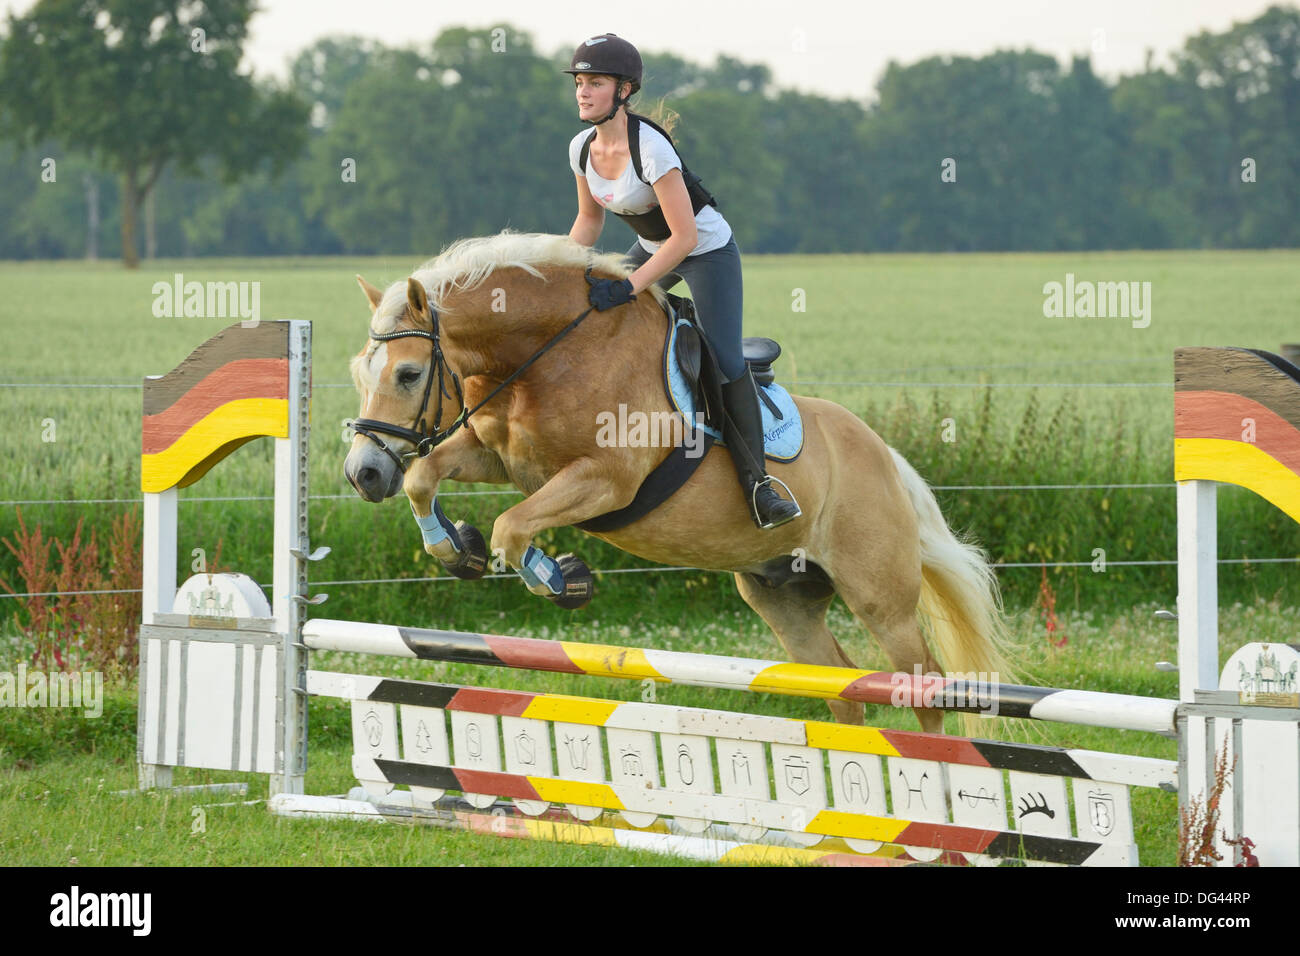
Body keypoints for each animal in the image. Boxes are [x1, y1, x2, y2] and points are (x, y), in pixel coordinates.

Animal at [344, 231, 1011, 732]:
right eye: (358, 372)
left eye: (408, 374)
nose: (363, 474)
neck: (550, 353)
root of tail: (884, 456)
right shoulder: (497, 457)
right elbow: (425, 477)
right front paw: (457, 549)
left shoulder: (604, 481)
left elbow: (512, 528)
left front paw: (565, 579)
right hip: (784, 595)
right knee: (843, 689)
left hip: (879, 595)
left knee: (922, 684)